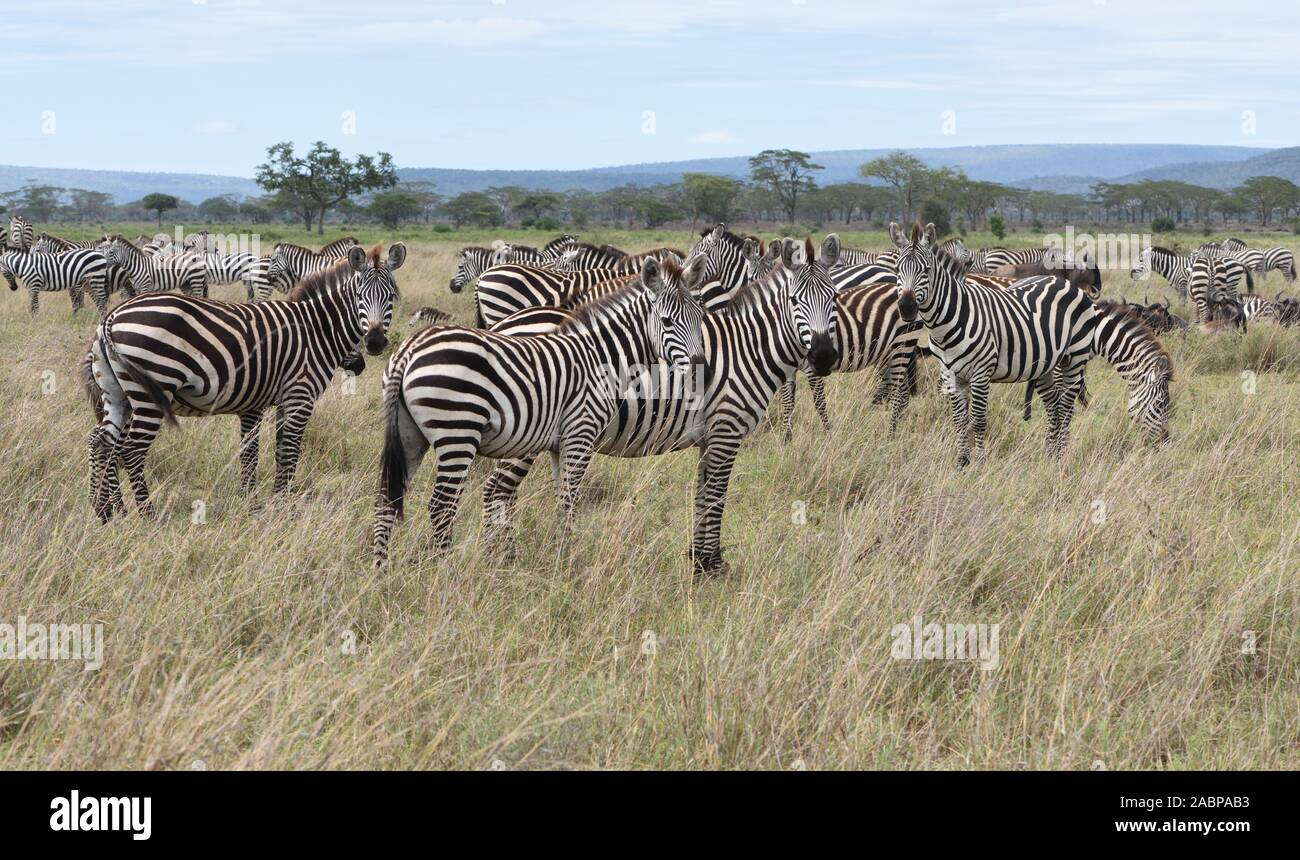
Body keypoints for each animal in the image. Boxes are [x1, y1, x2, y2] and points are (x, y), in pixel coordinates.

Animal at [86, 244, 405, 522]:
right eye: (360, 297)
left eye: (391, 297)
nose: (374, 343)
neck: (316, 329)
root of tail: (110, 318)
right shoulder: (299, 396)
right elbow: (289, 451)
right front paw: (283, 507)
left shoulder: (266, 400)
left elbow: (262, 452)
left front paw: (258, 502)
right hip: (151, 393)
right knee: (130, 451)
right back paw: (147, 515)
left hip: (118, 395)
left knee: (101, 443)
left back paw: (106, 510)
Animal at [371, 254, 709, 567]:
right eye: (667, 322)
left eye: (700, 317)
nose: (701, 369)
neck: (601, 357)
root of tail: (407, 351)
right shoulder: (580, 434)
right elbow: (570, 500)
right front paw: (569, 564)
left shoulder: (561, 443)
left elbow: (562, 500)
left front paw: (563, 554)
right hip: (458, 432)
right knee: (441, 506)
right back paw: (446, 569)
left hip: (409, 435)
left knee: (386, 498)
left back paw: (381, 570)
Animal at [474, 237, 842, 575]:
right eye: (795, 301)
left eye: (835, 298)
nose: (824, 356)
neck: (747, 348)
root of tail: (504, 325)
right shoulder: (726, 431)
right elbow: (717, 496)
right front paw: (712, 566)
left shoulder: (709, 438)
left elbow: (701, 495)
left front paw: (699, 560)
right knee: (497, 490)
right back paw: (500, 560)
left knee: (503, 492)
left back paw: (503, 557)